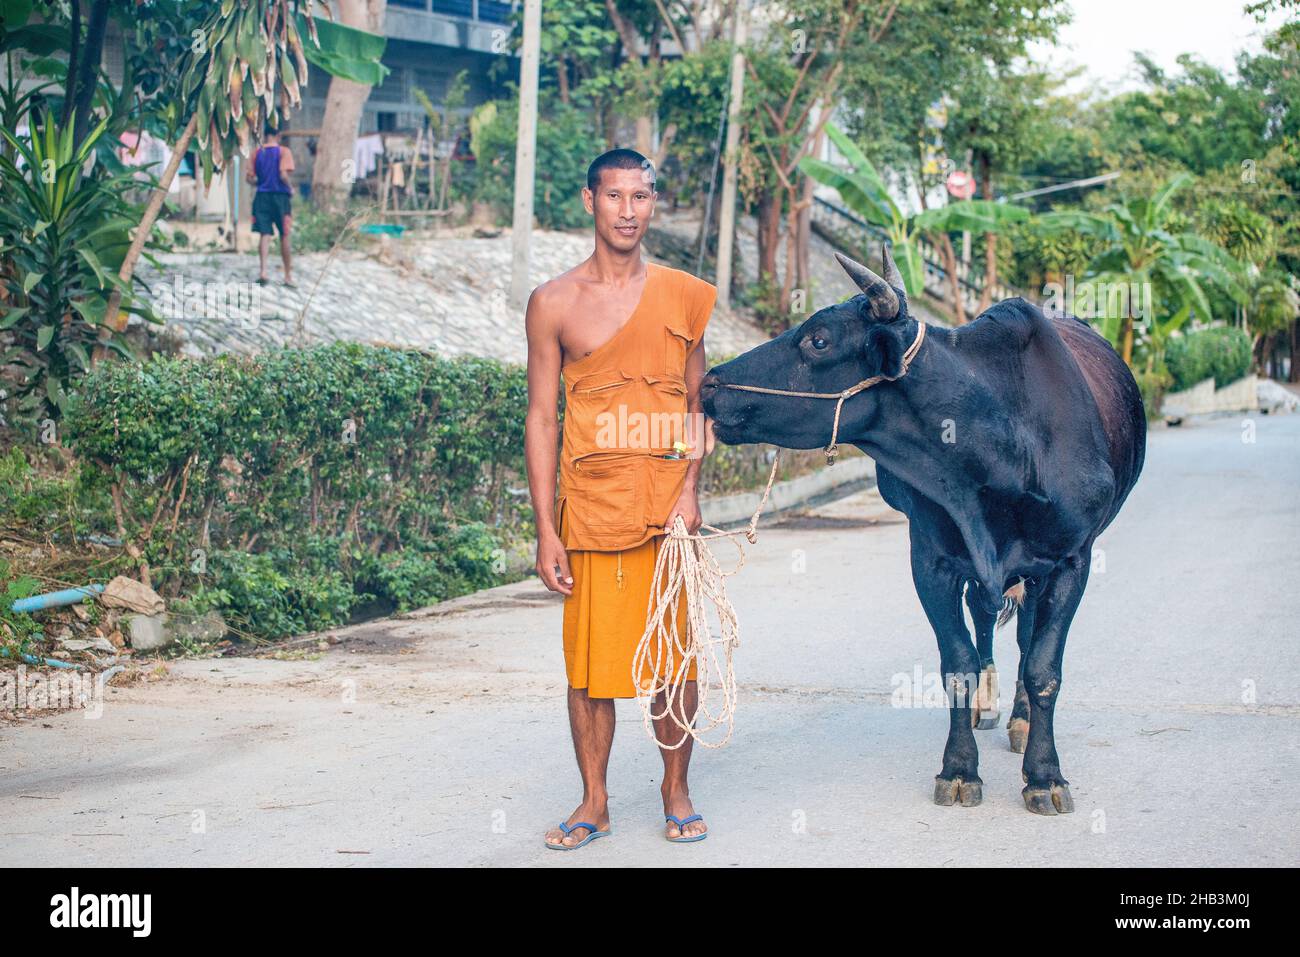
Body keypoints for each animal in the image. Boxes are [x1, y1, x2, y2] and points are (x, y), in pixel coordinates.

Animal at [700, 251, 1146, 815]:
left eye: (818, 339)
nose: (709, 383)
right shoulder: (931, 559)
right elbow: (957, 664)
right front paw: (959, 768)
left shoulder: (1072, 560)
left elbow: (1044, 666)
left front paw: (1044, 775)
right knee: (984, 615)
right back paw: (987, 707)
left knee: (1024, 635)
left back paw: (1021, 719)